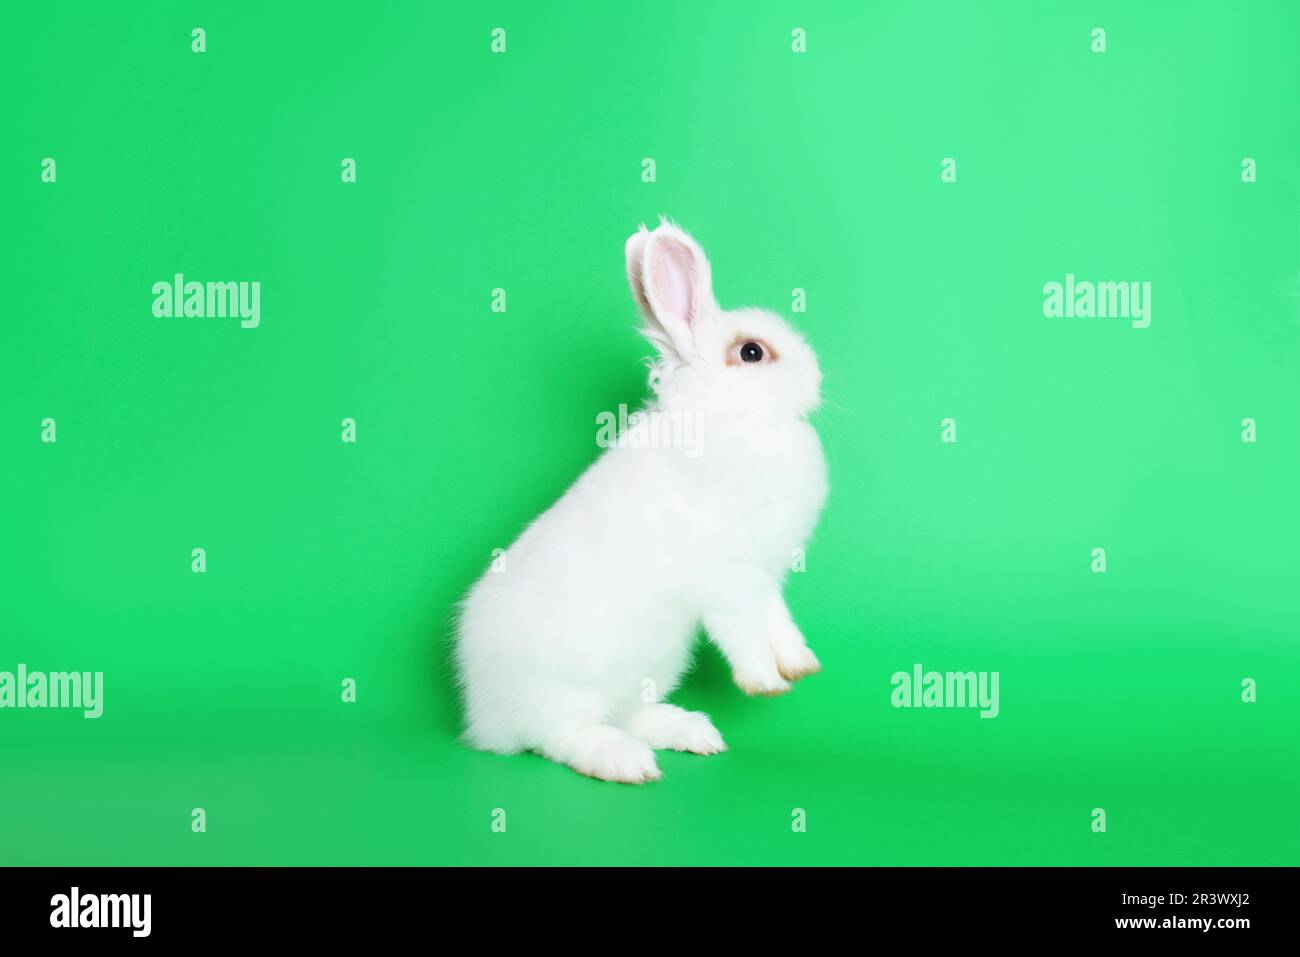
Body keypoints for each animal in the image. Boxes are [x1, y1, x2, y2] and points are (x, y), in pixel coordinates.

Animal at [454, 219, 828, 783]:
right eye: (752, 352)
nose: (817, 376)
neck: (730, 419)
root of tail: (482, 715)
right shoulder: (728, 580)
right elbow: (744, 632)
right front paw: (766, 683)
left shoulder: (763, 575)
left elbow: (777, 620)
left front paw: (800, 665)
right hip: (573, 690)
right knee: (561, 736)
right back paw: (626, 762)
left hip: (652, 665)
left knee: (629, 713)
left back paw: (693, 733)